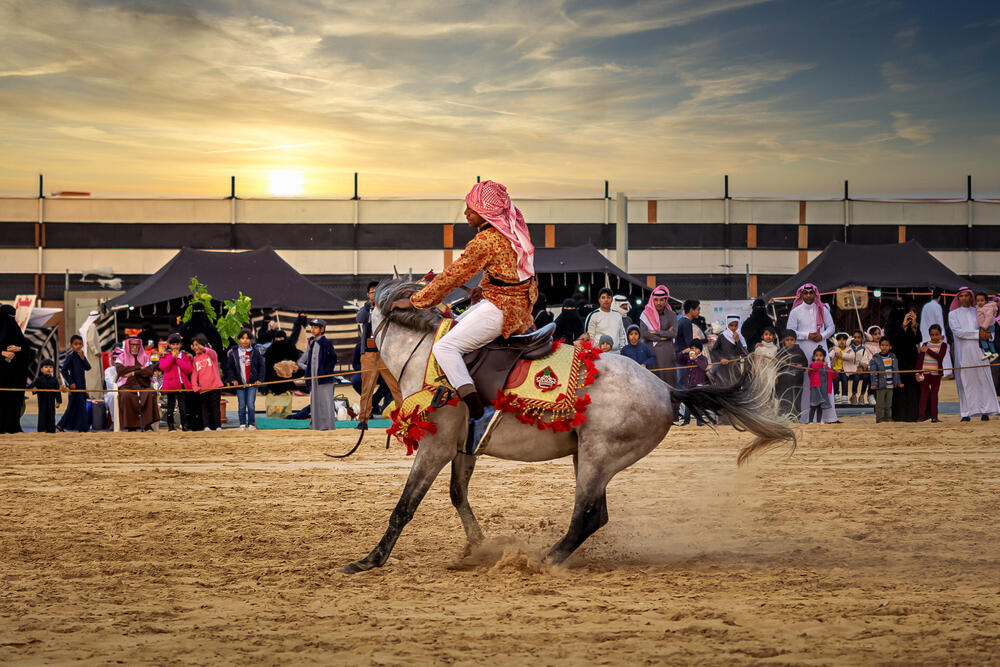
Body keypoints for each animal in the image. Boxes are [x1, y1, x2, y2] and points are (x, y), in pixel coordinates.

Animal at [338, 280, 795, 574]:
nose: (355, 365)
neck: (431, 357)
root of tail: (666, 389)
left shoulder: (434, 448)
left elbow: (405, 507)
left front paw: (369, 560)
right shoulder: (463, 448)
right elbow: (457, 496)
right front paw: (477, 547)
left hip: (595, 458)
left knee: (587, 517)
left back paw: (543, 561)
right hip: (588, 459)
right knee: (596, 515)